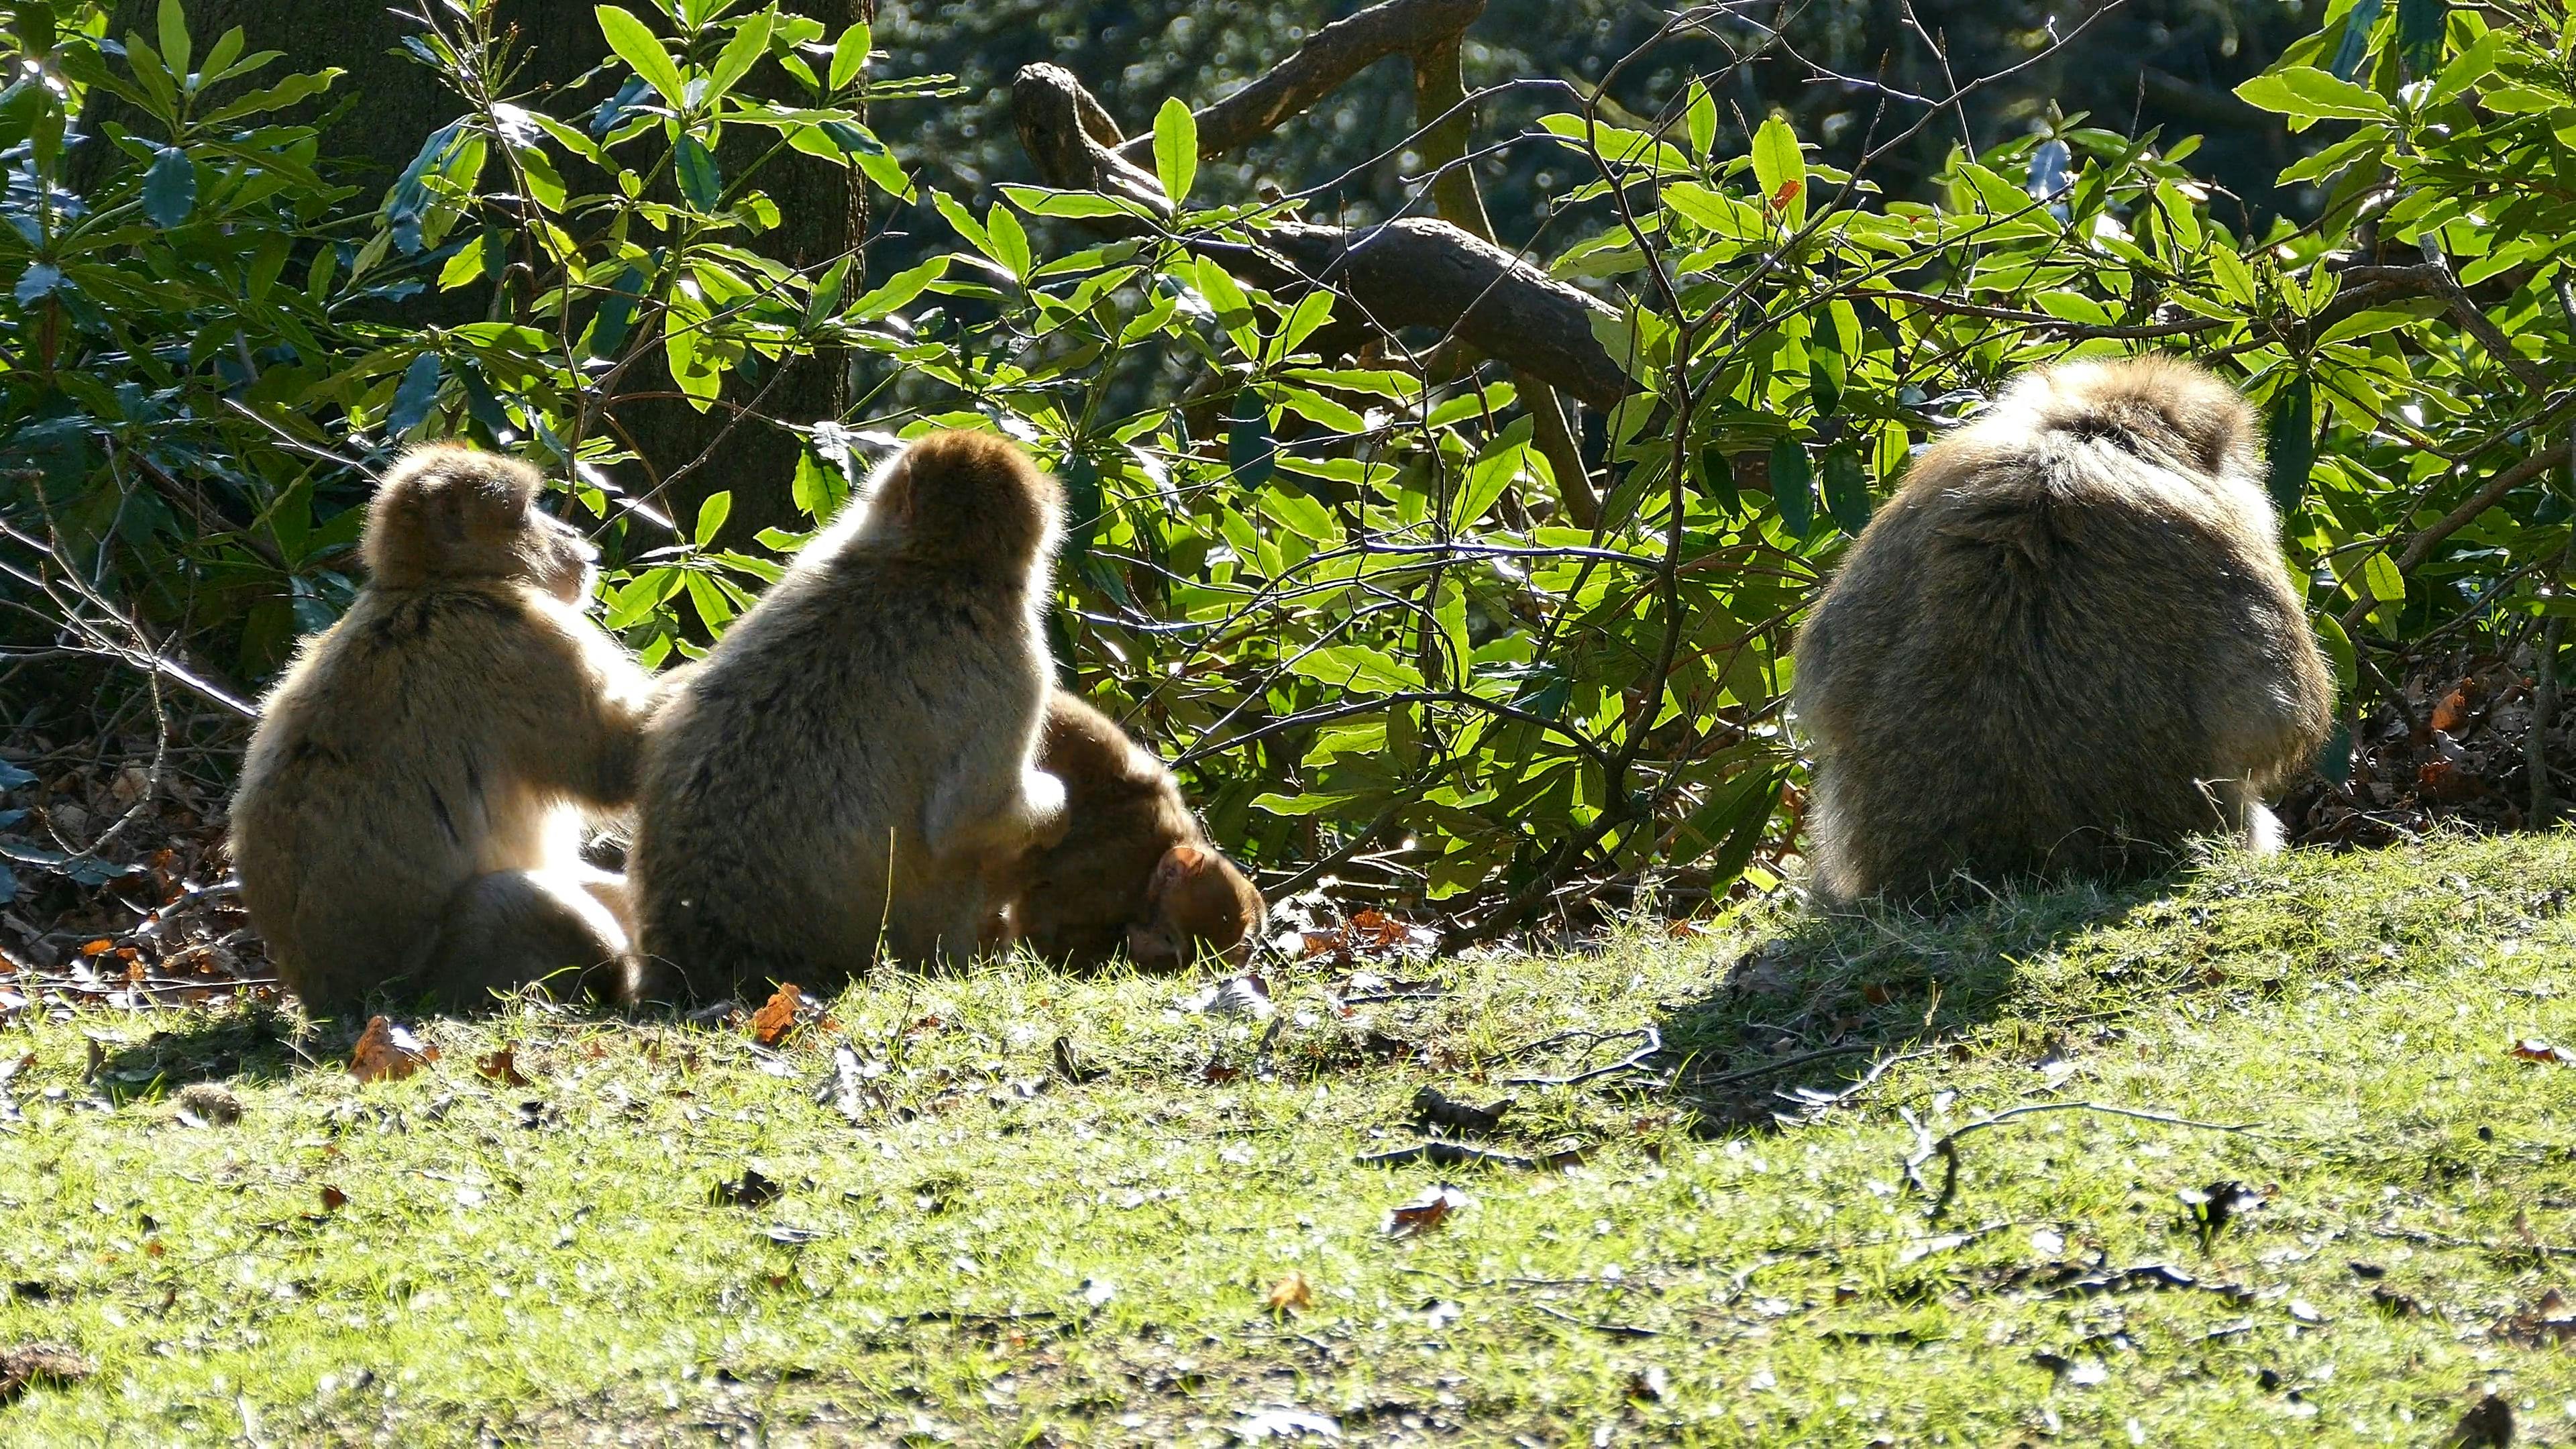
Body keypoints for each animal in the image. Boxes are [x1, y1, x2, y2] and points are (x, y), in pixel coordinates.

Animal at [228, 444, 658, 1012]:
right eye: (526, 512)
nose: (571, 536)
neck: (432, 585)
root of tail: (326, 994)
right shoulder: (514, 635)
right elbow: (616, 762)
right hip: (440, 978)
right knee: (517, 901)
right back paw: (621, 985)